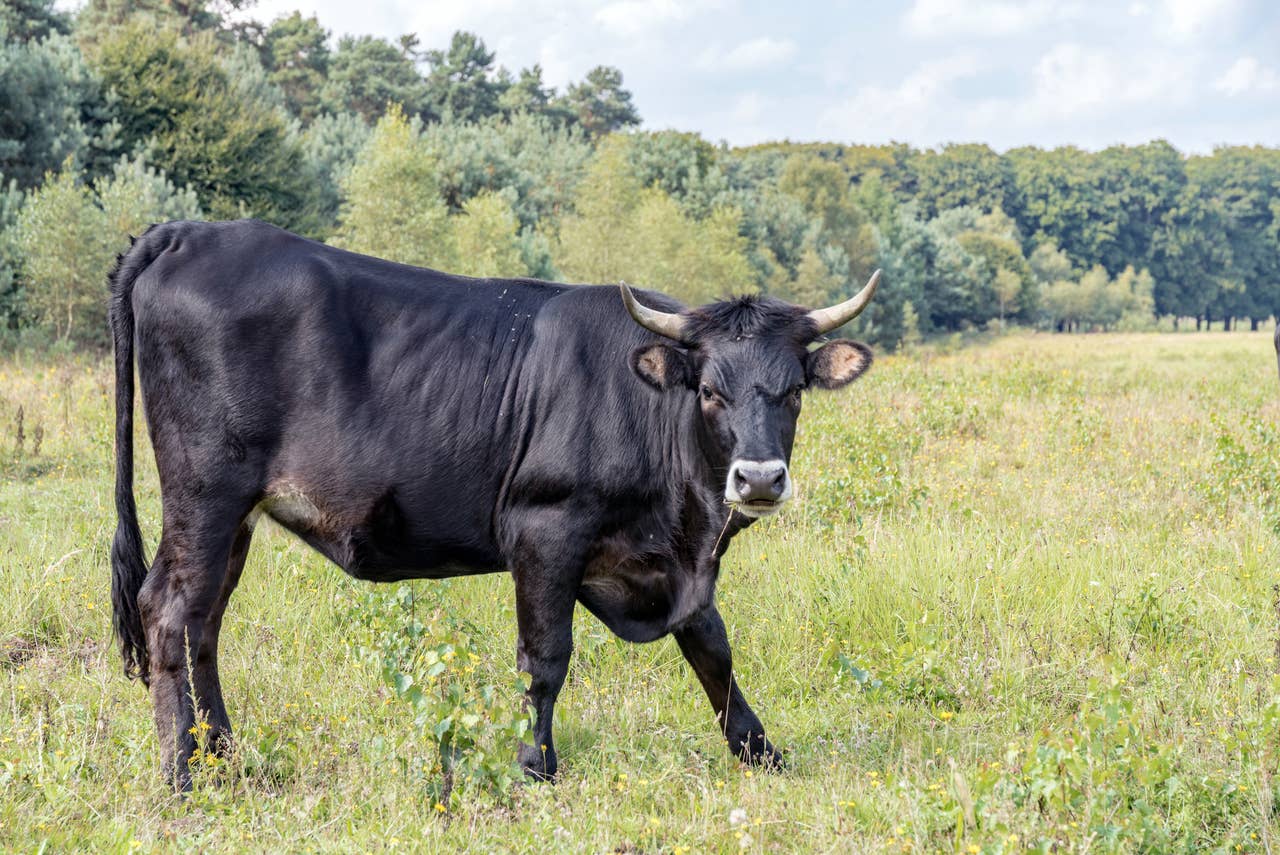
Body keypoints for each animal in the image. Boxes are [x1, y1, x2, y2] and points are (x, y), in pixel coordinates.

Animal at [109, 219, 879, 788]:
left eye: (794, 391)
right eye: (711, 391)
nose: (758, 479)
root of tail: (188, 233)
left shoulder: (680, 567)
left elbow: (713, 649)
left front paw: (760, 751)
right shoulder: (545, 529)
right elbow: (545, 657)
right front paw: (536, 766)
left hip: (232, 517)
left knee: (205, 622)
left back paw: (222, 754)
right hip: (205, 492)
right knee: (171, 610)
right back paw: (183, 771)